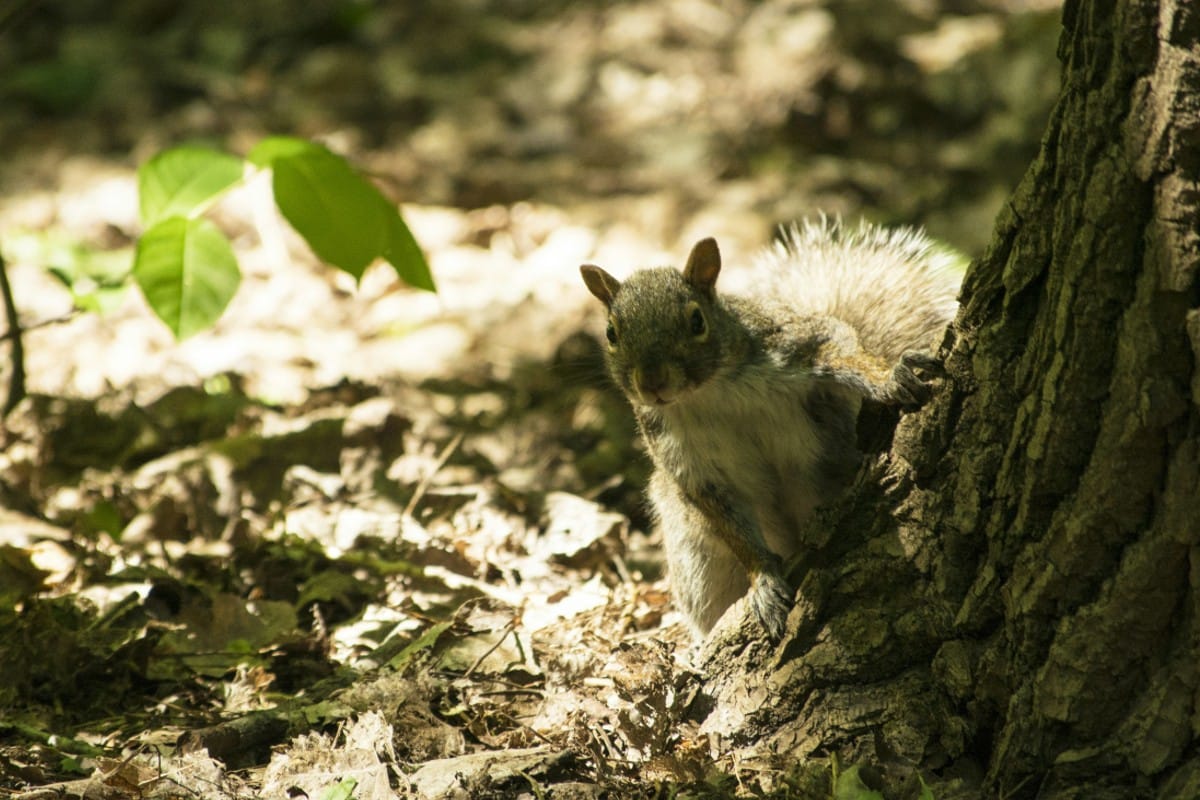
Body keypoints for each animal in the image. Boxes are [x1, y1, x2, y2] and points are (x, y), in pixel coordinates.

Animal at [580, 219, 961, 640]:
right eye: (611, 333)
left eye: (697, 321)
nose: (652, 383)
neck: (706, 394)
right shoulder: (690, 464)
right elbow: (733, 529)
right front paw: (763, 581)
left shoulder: (793, 342)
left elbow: (841, 351)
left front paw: (889, 377)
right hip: (697, 562)